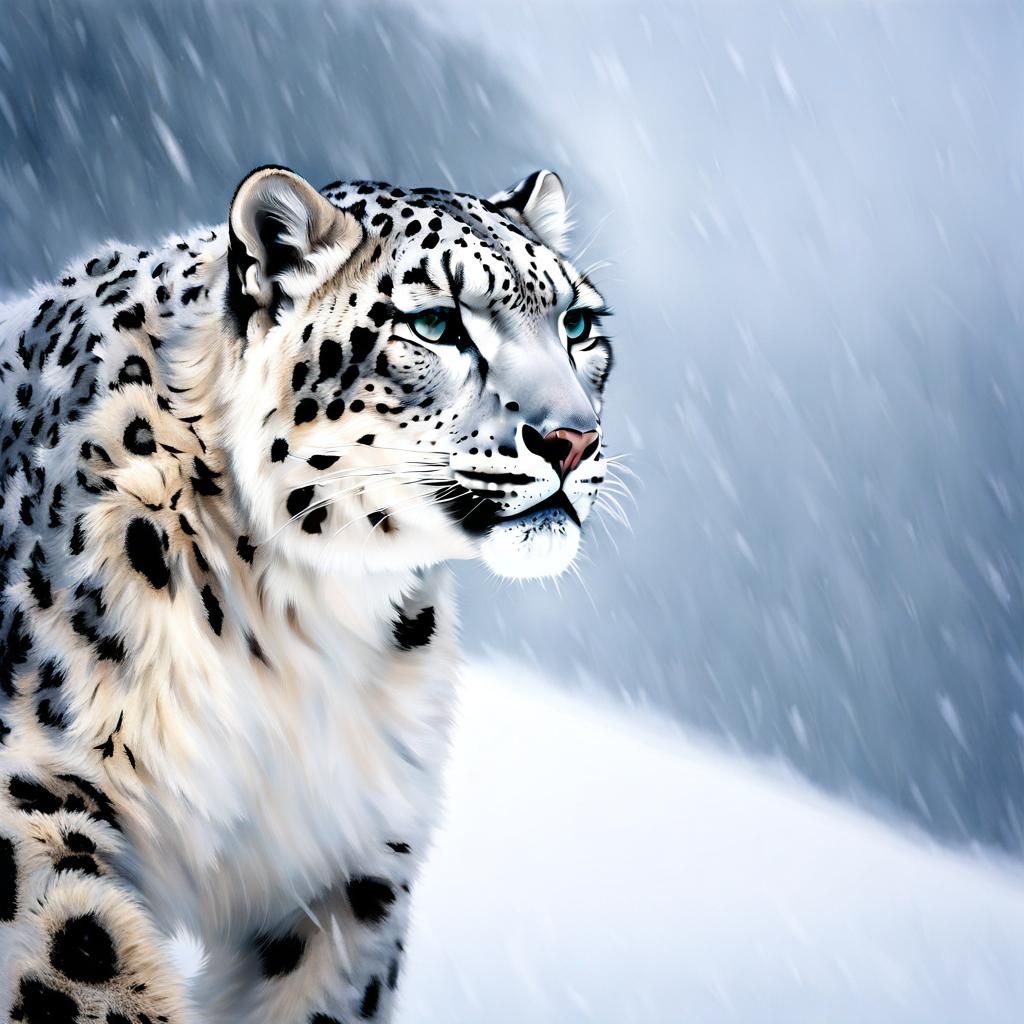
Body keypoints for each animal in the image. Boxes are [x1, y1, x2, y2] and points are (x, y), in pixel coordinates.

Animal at [0, 164, 613, 1023]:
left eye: (579, 323)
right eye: (436, 323)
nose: (574, 439)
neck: (303, 626)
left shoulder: (347, 867)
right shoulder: (38, 792)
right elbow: (86, 964)